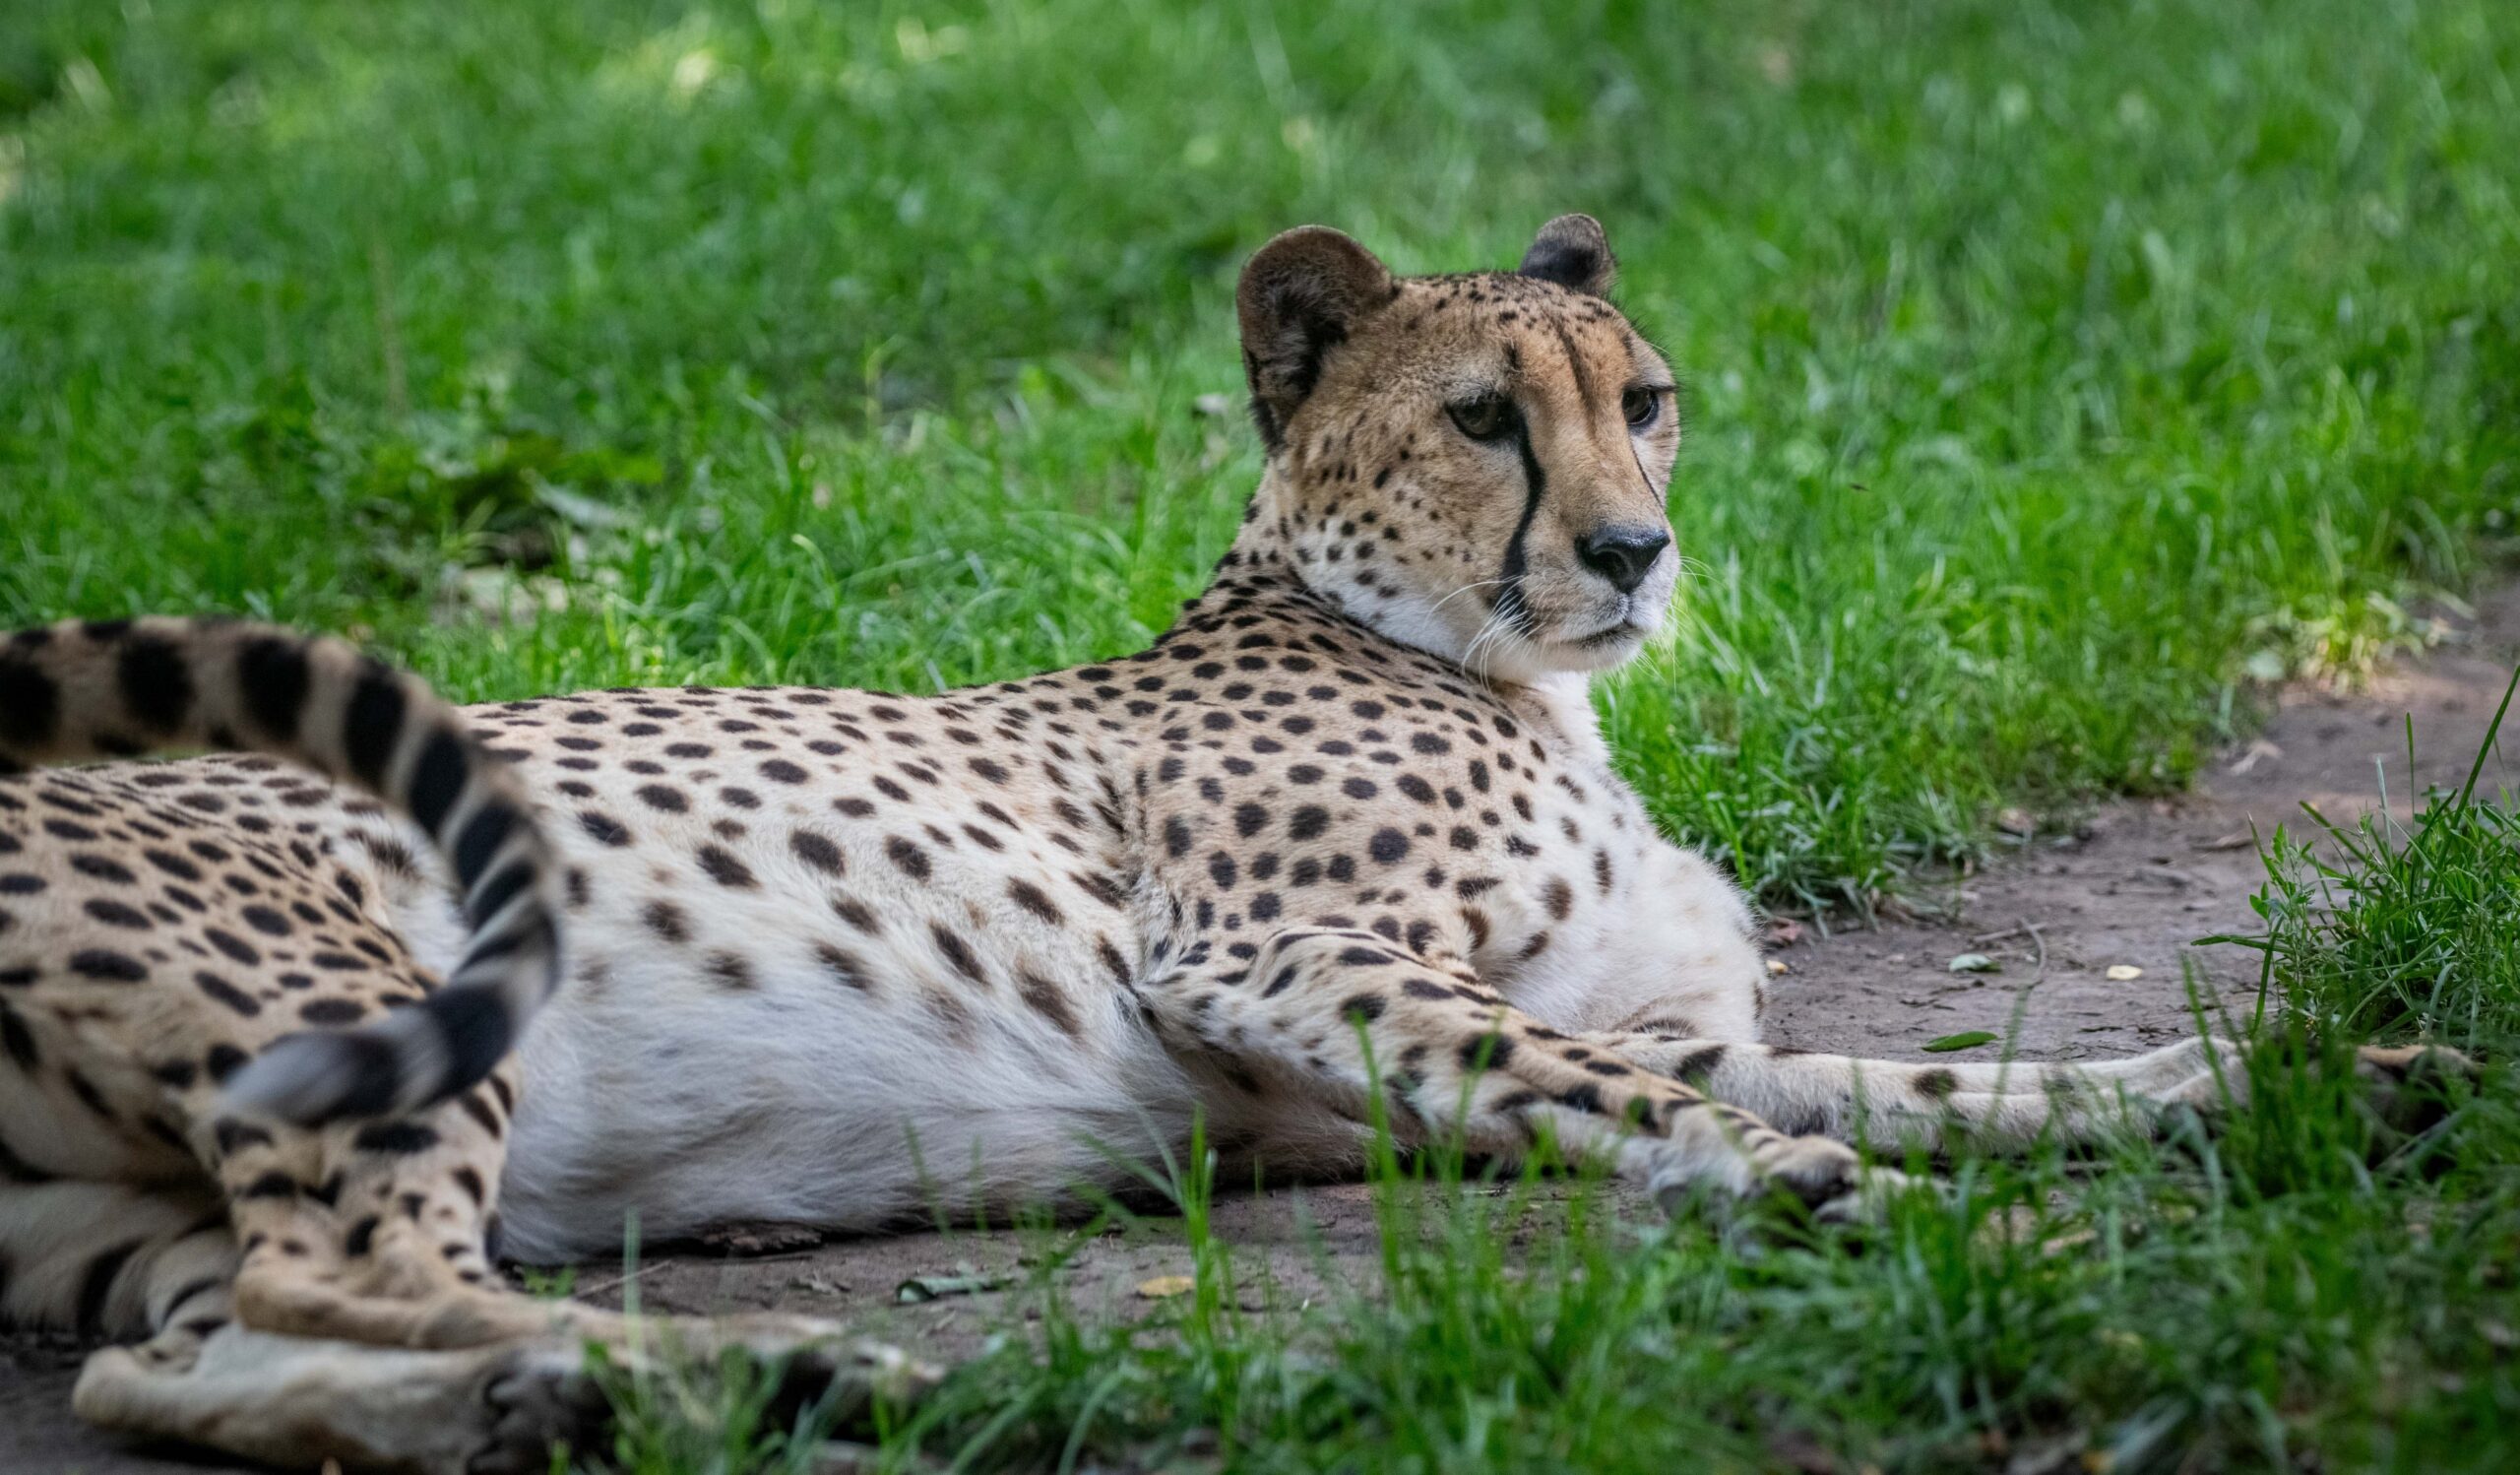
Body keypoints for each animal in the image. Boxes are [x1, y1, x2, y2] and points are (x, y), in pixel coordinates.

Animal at [0, 216, 2464, 1473]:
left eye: (1640, 397)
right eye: (1481, 418)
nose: (1634, 548)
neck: (1494, 666)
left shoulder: (1669, 1018)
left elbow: (1972, 1079)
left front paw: (2291, 1080)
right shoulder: (1271, 969)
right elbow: (1658, 1098)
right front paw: (1856, 1210)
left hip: (166, 1195)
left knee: (178, 1354)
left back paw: (611, 1392)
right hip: (359, 979)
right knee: (340, 1280)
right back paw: (770, 1371)